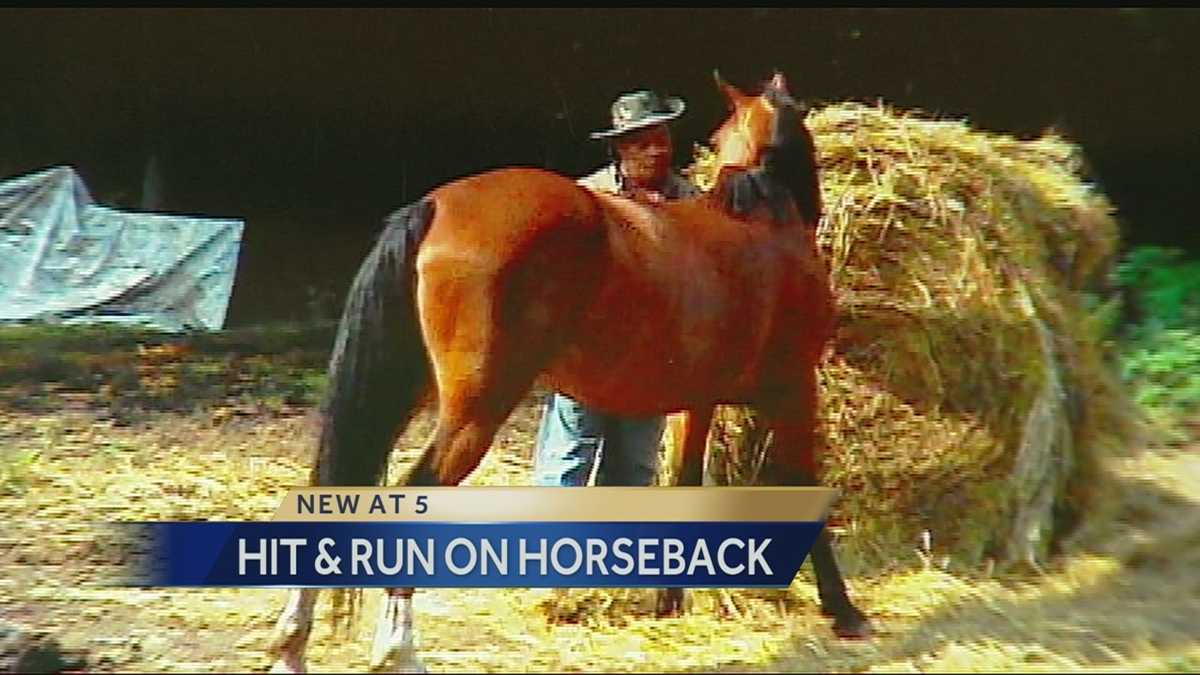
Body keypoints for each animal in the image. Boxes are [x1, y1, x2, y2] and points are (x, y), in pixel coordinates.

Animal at [267, 71, 871, 674]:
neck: (758, 218)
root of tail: (437, 204)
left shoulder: (697, 404)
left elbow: (684, 480)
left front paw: (669, 602)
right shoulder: (795, 390)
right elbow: (805, 489)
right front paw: (844, 611)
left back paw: (293, 644)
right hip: (475, 411)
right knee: (412, 497)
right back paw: (398, 650)